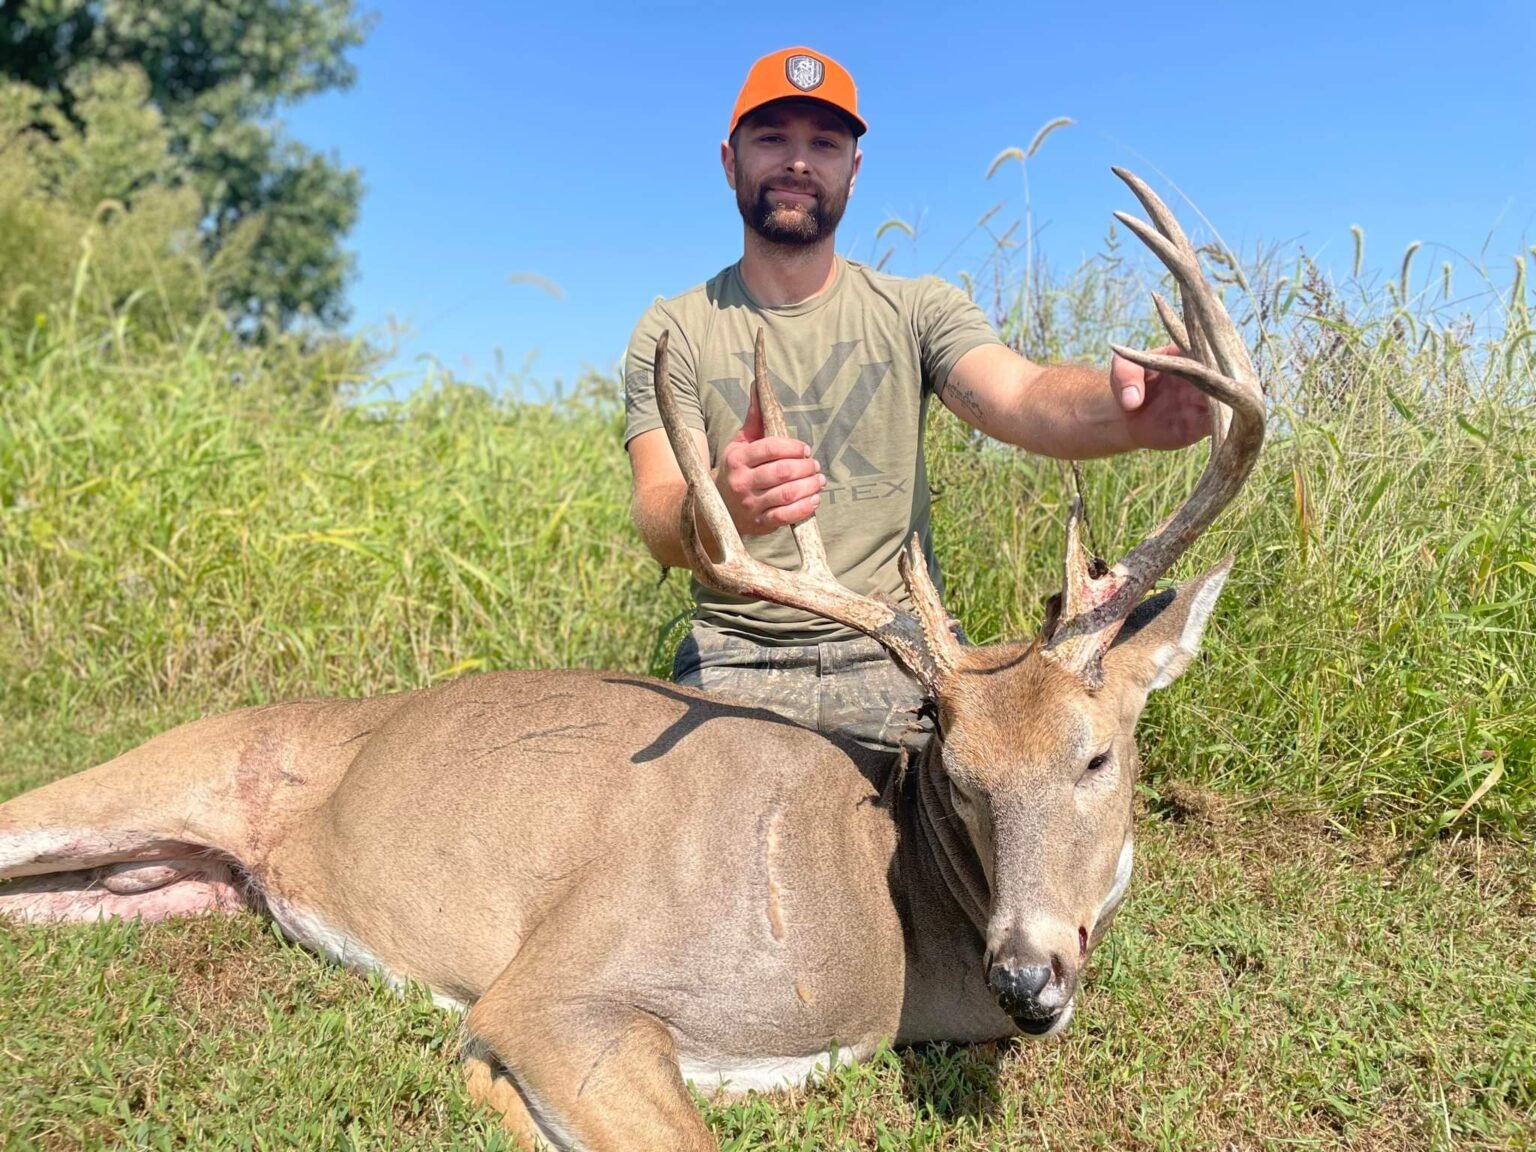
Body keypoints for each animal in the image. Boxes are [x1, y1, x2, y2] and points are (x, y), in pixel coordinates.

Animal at [0, 169, 1264, 1151]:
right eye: (955, 777)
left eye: (1096, 758)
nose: (1028, 977)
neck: (883, 915)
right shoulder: (558, 990)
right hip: (146, 778)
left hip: (159, 886)